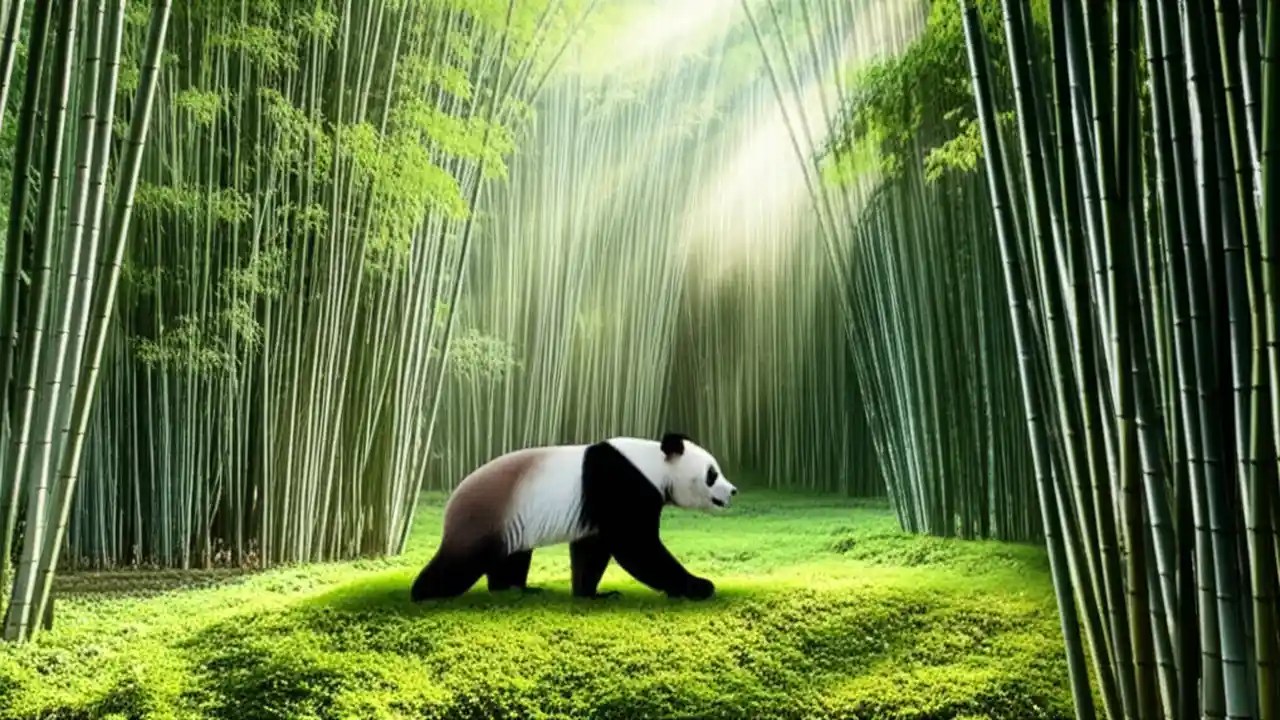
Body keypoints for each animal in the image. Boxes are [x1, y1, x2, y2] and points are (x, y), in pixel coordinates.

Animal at [410, 432, 737, 602]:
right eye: (712, 474)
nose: (733, 491)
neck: (654, 463)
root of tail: (452, 501)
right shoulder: (621, 484)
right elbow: (637, 547)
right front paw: (699, 586)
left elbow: (593, 549)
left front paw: (590, 593)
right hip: (483, 519)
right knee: (461, 563)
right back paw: (424, 594)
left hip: (512, 521)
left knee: (511, 557)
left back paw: (516, 589)